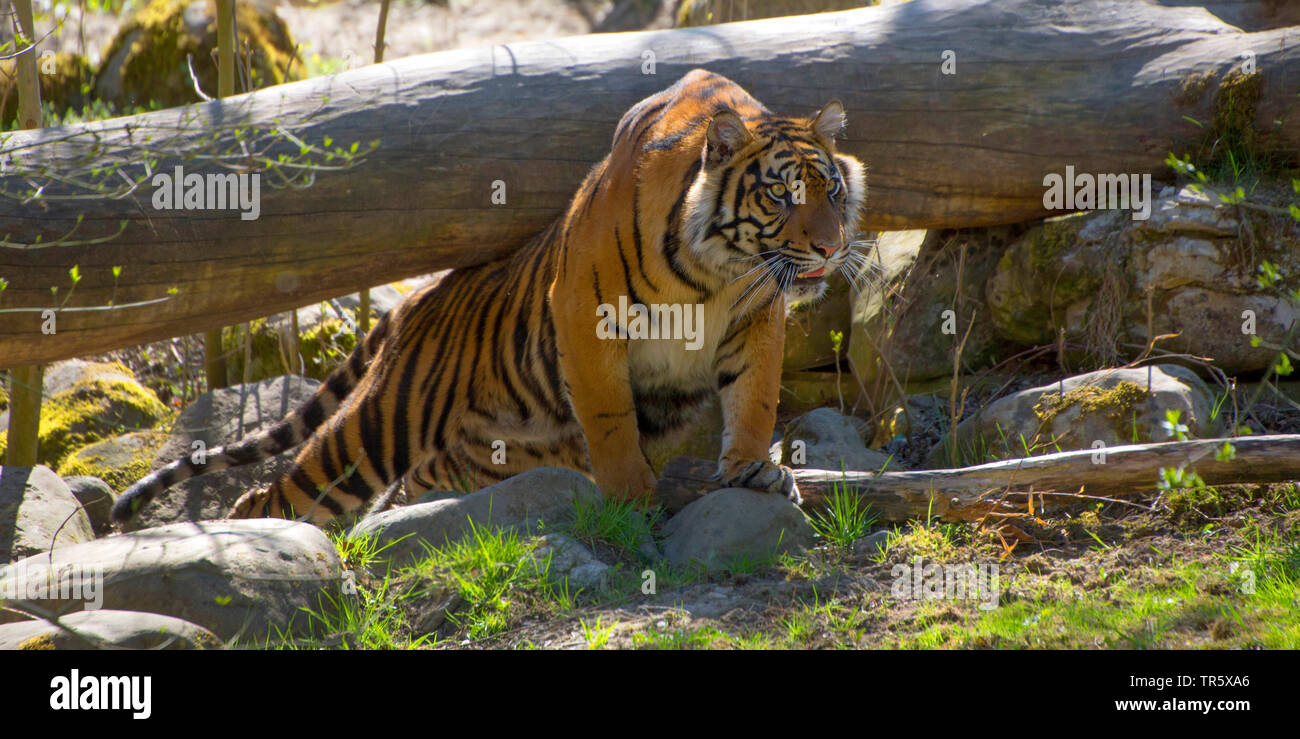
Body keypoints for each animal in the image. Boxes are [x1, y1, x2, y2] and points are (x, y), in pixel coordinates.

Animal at [111, 69, 868, 527]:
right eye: (781, 194)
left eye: (830, 189)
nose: (831, 248)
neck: (720, 271)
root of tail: (415, 299)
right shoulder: (585, 315)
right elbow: (611, 423)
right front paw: (632, 502)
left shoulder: (755, 316)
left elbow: (756, 397)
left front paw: (752, 472)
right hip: (379, 427)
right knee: (275, 491)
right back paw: (265, 542)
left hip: (472, 456)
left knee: (413, 489)